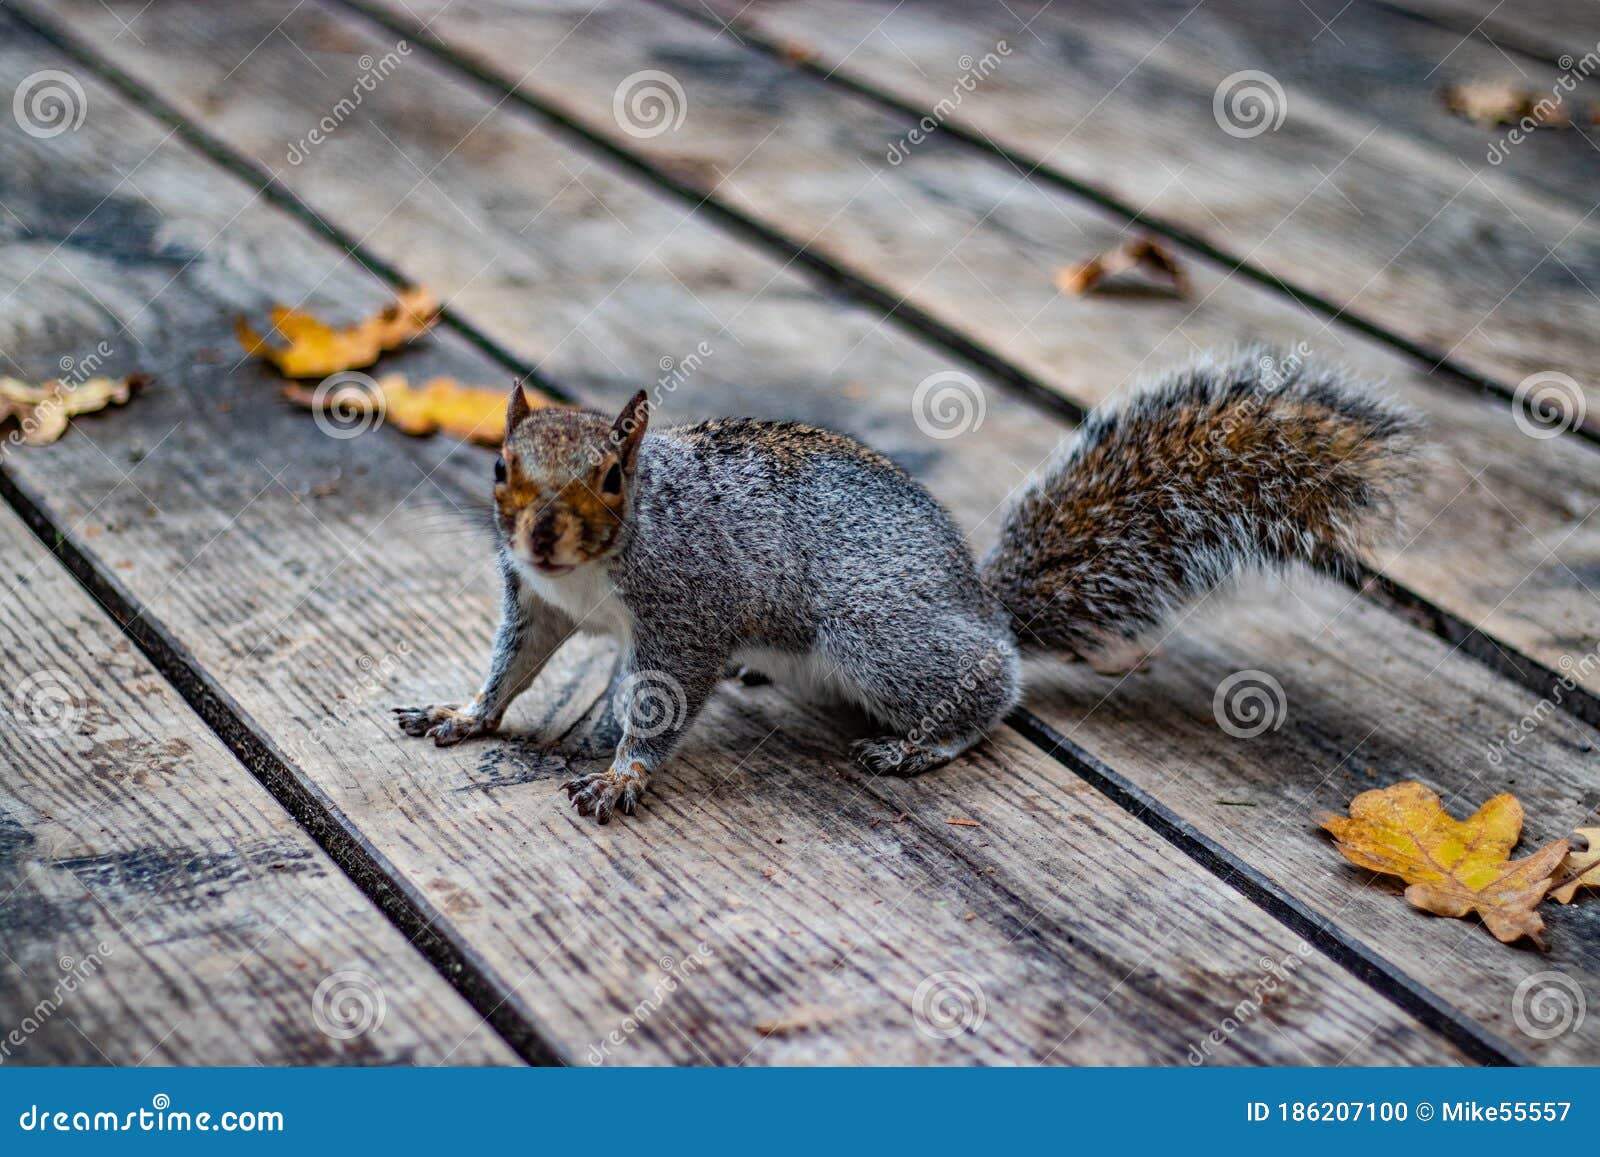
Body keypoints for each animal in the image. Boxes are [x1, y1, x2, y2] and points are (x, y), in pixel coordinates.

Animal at [396, 349, 1420, 823]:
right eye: (499, 467)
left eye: (612, 476)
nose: (541, 533)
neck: (593, 566)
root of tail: (981, 605)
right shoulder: (535, 602)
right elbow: (513, 667)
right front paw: (463, 714)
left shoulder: (688, 607)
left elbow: (660, 695)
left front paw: (620, 774)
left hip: (876, 636)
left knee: (991, 689)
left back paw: (923, 742)